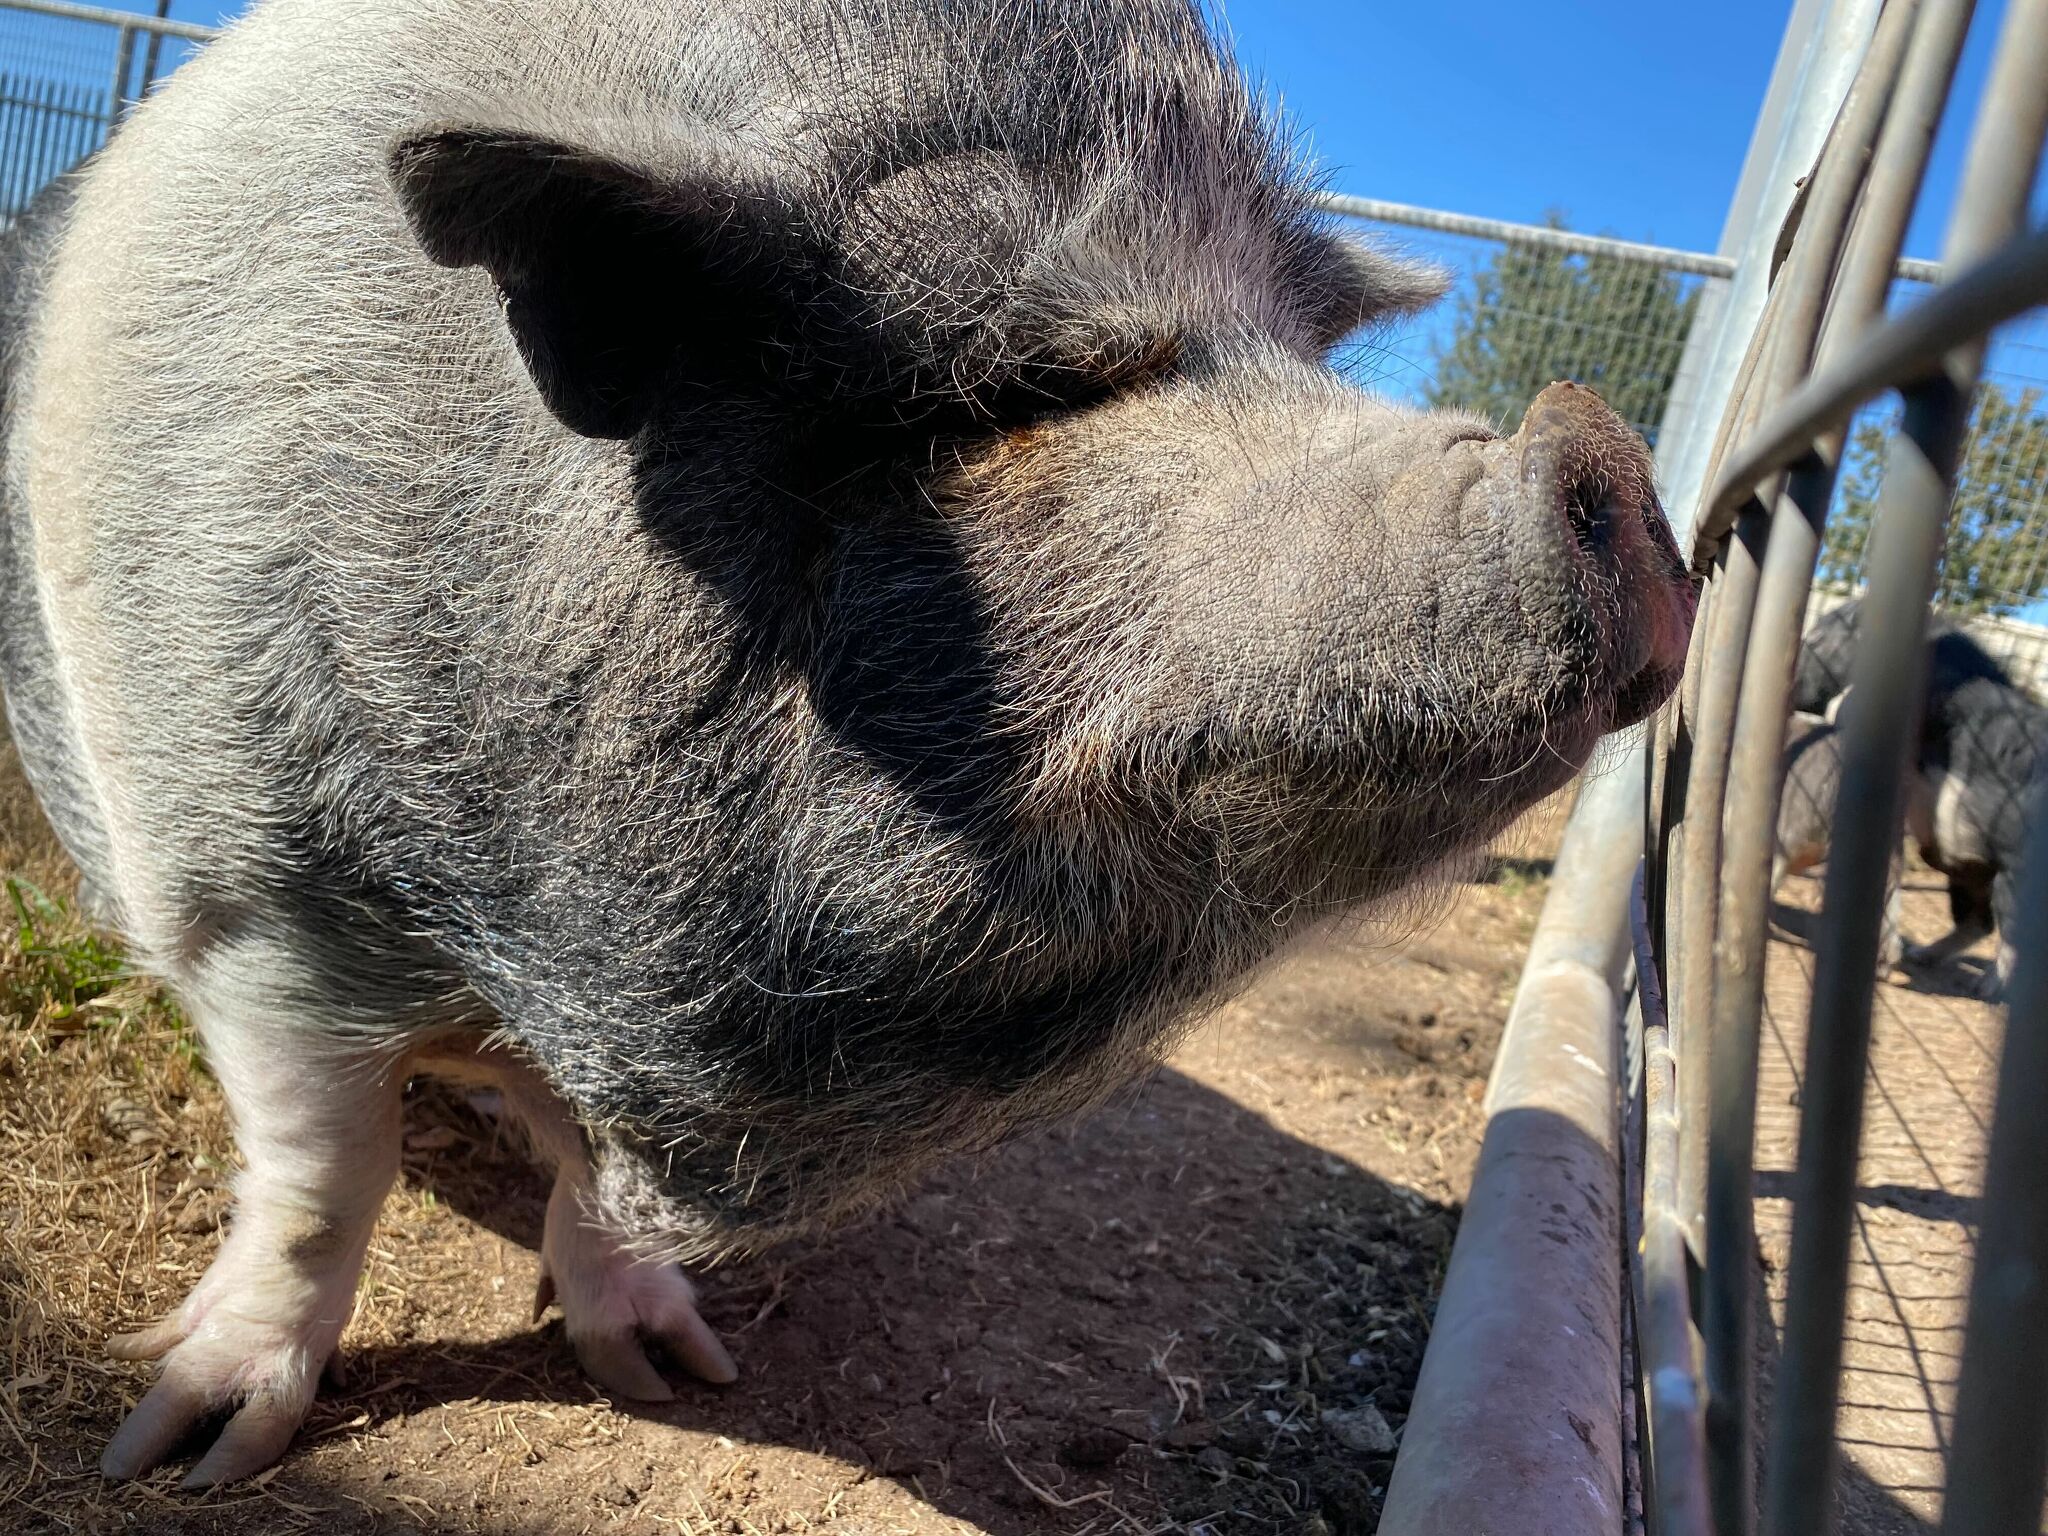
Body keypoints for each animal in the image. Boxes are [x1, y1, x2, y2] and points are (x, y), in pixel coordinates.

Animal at [0, 0, 1694, 1488]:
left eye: (1297, 358)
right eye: (1017, 391)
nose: (1598, 444)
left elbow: (589, 1193)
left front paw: (672, 1374)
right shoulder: (244, 885)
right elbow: (321, 1177)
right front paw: (181, 1452)